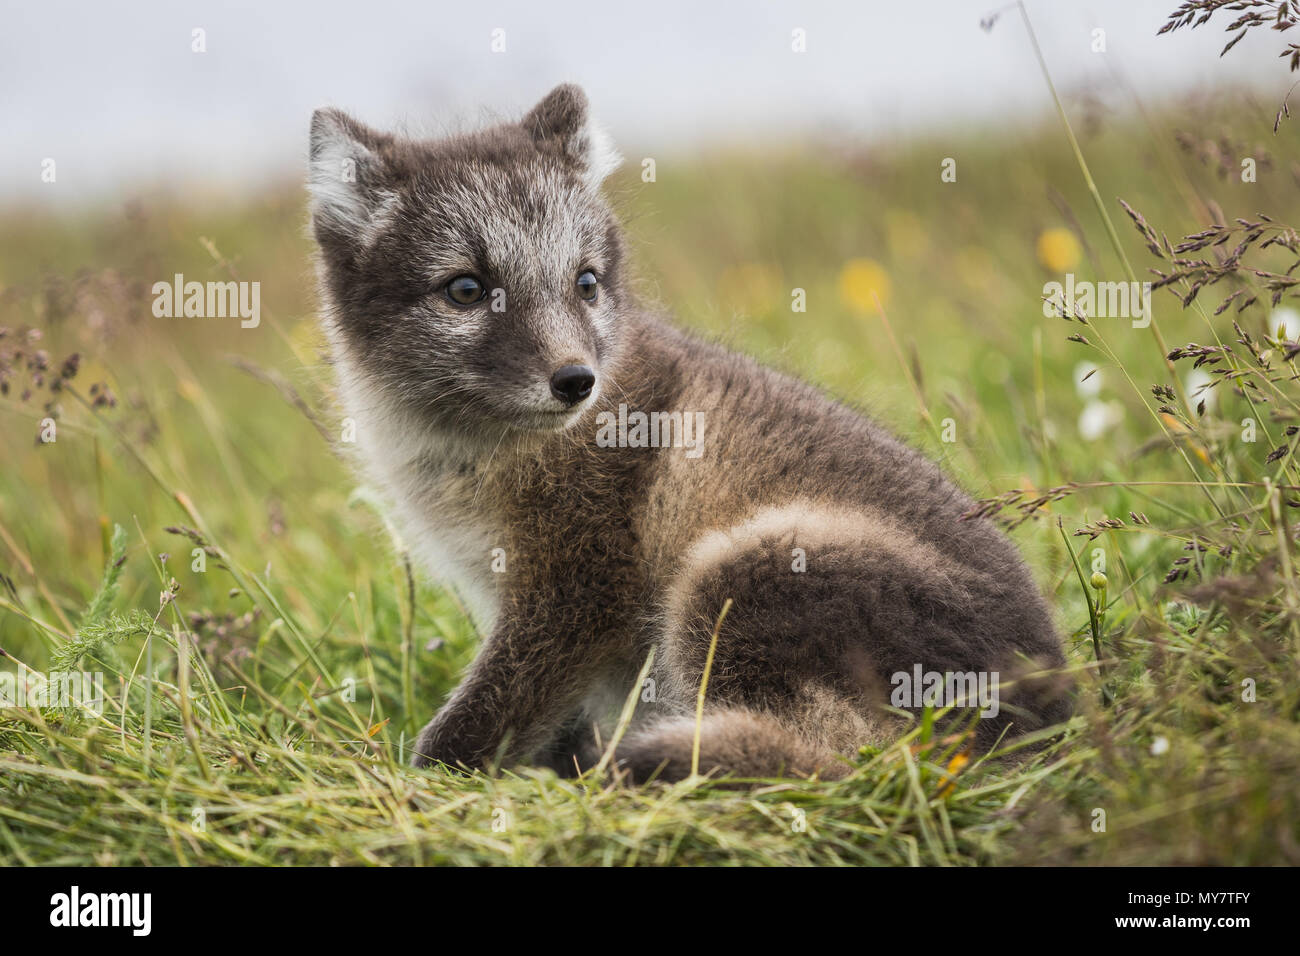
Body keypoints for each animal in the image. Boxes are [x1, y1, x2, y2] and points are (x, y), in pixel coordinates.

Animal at [307, 84, 1071, 782]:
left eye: (585, 283)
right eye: (465, 289)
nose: (576, 381)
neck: (470, 456)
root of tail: (1053, 717)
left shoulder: (575, 591)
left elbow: (477, 721)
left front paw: (423, 787)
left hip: (744, 565)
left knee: (836, 759)